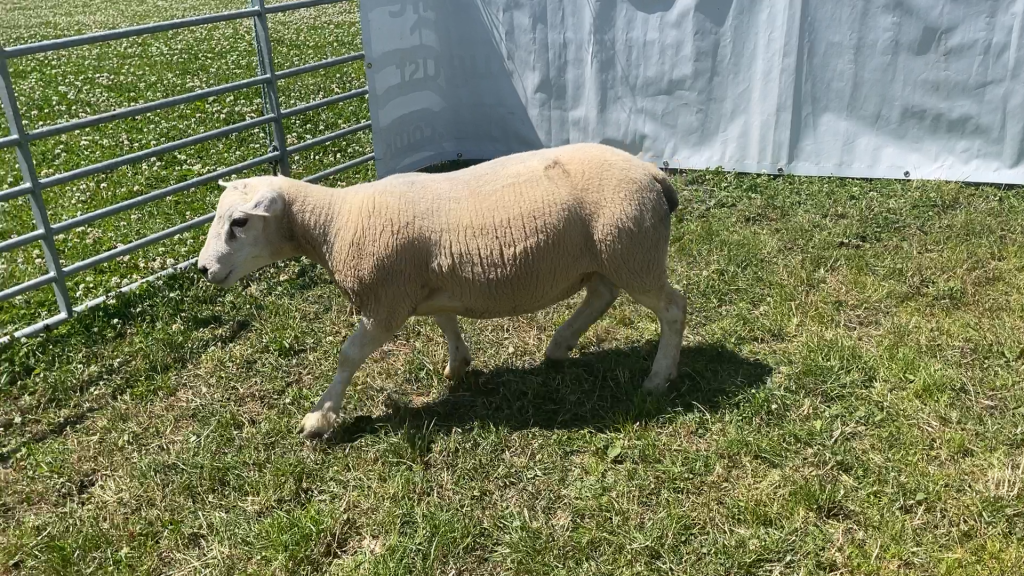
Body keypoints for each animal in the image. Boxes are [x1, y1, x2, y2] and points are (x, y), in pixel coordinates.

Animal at [196, 142, 687, 439]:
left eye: (239, 222)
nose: (203, 268)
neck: (334, 222)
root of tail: (652, 174)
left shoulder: (386, 301)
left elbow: (348, 356)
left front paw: (321, 417)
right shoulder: (425, 285)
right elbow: (445, 321)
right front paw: (458, 365)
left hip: (632, 251)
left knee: (672, 307)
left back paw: (658, 377)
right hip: (607, 255)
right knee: (602, 296)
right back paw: (559, 346)